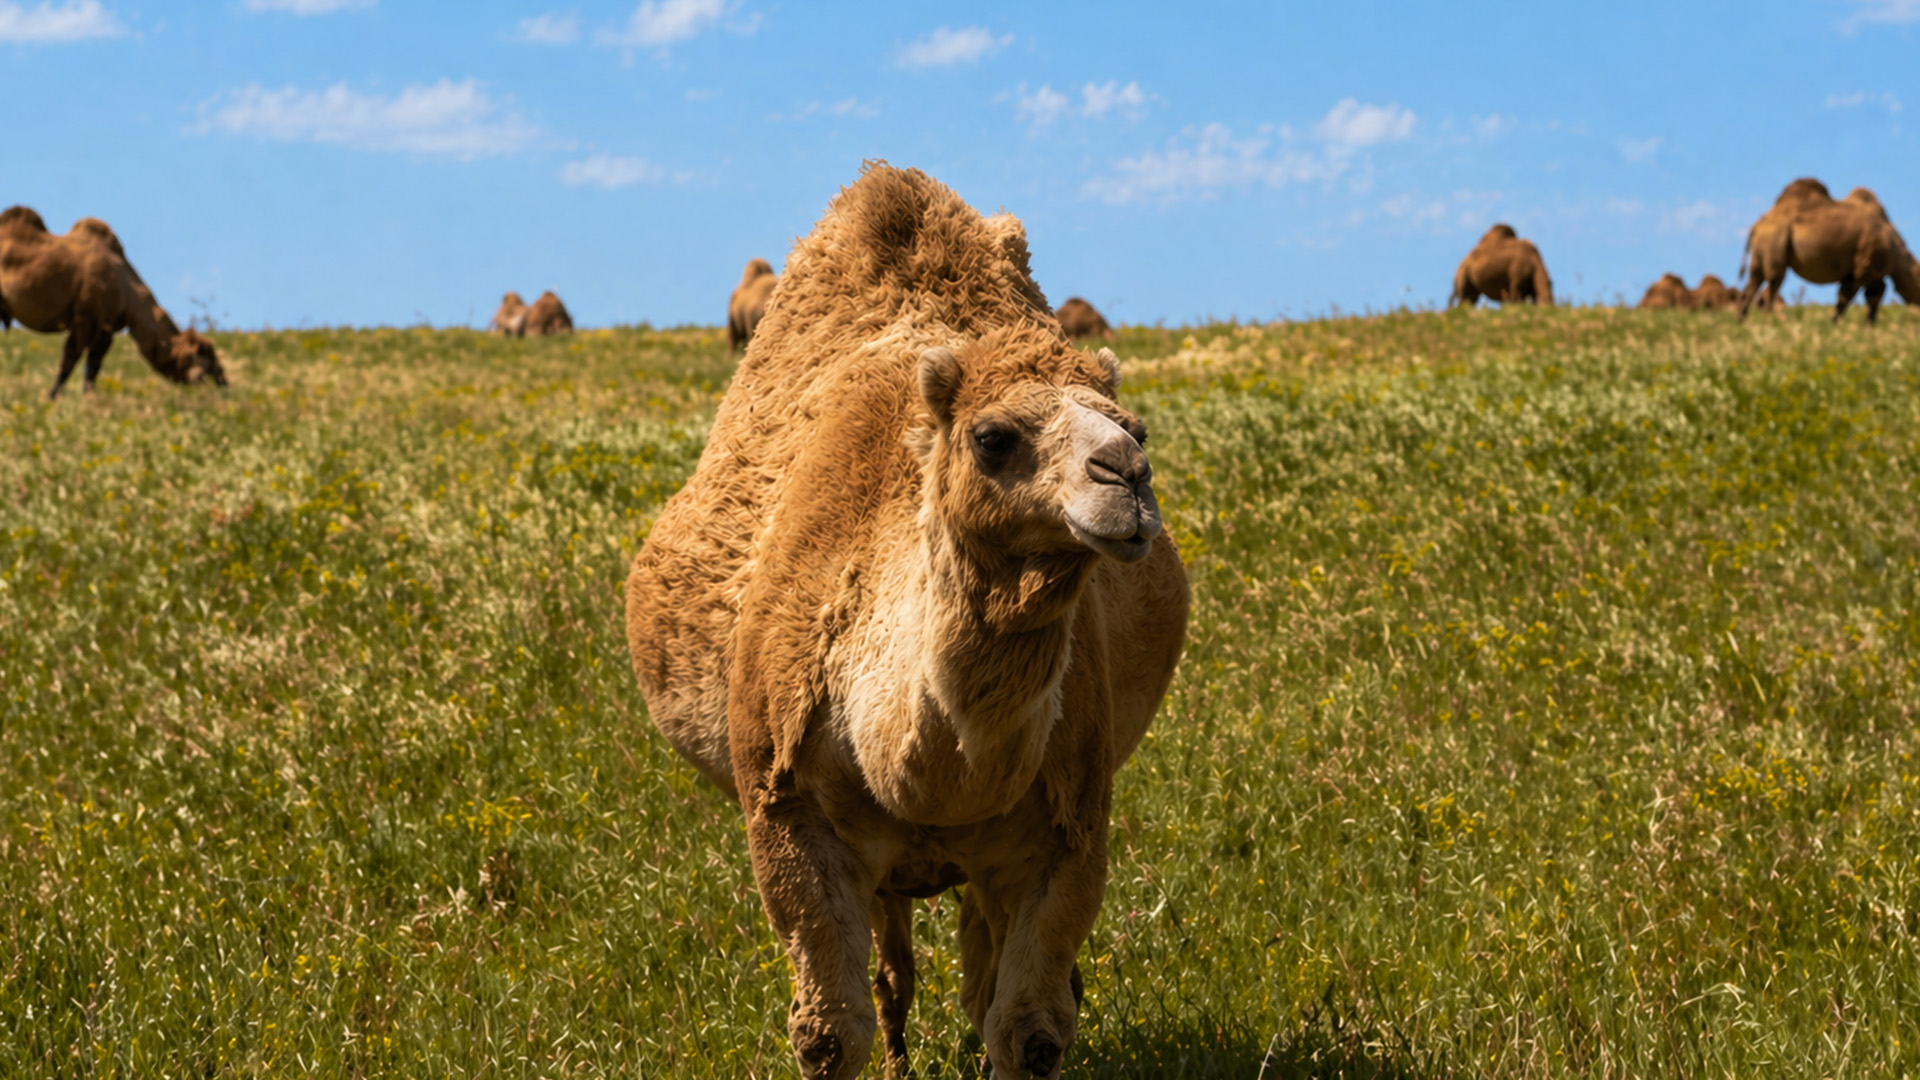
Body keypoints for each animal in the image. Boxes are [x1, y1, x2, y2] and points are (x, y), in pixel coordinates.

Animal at [0, 206, 226, 399]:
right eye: (207, 358)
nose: (223, 381)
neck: (126, 287)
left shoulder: (106, 326)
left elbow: (93, 365)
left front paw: (89, 400)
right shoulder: (85, 316)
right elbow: (70, 360)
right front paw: (53, 399)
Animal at [625, 163, 1189, 1079]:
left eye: (1135, 426)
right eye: (993, 437)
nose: (1127, 476)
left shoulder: (1070, 826)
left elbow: (1029, 1029)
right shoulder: (783, 809)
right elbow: (828, 1034)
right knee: (894, 971)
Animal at [1738, 180, 1920, 323]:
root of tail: (1758, 224)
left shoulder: (1873, 272)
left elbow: (1873, 295)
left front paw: (1868, 327)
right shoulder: (1864, 264)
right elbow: (1848, 295)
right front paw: (1834, 324)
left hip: (1761, 249)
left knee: (1755, 280)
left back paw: (1743, 321)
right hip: (1775, 239)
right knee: (1773, 280)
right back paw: (1769, 322)